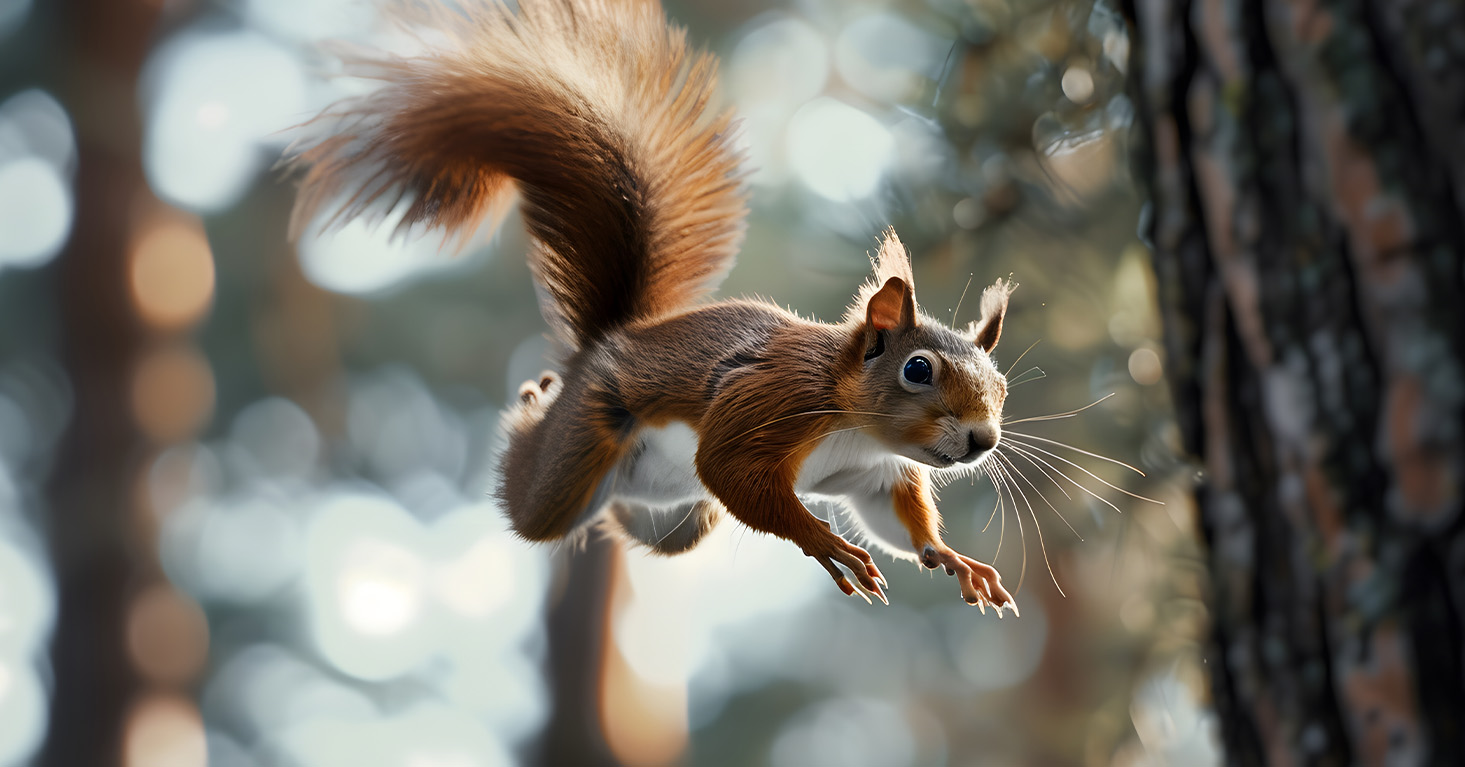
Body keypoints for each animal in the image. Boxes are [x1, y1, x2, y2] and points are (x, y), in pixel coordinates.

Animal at [287, 0, 1018, 614]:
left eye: (1002, 384)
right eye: (917, 370)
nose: (982, 440)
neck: (853, 419)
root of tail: (604, 342)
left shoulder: (874, 473)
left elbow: (895, 520)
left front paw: (952, 557)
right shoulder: (769, 399)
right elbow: (728, 469)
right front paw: (823, 541)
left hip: (677, 518)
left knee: (638, 521)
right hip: (577, 453)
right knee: (536, 503)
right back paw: (535, 396)